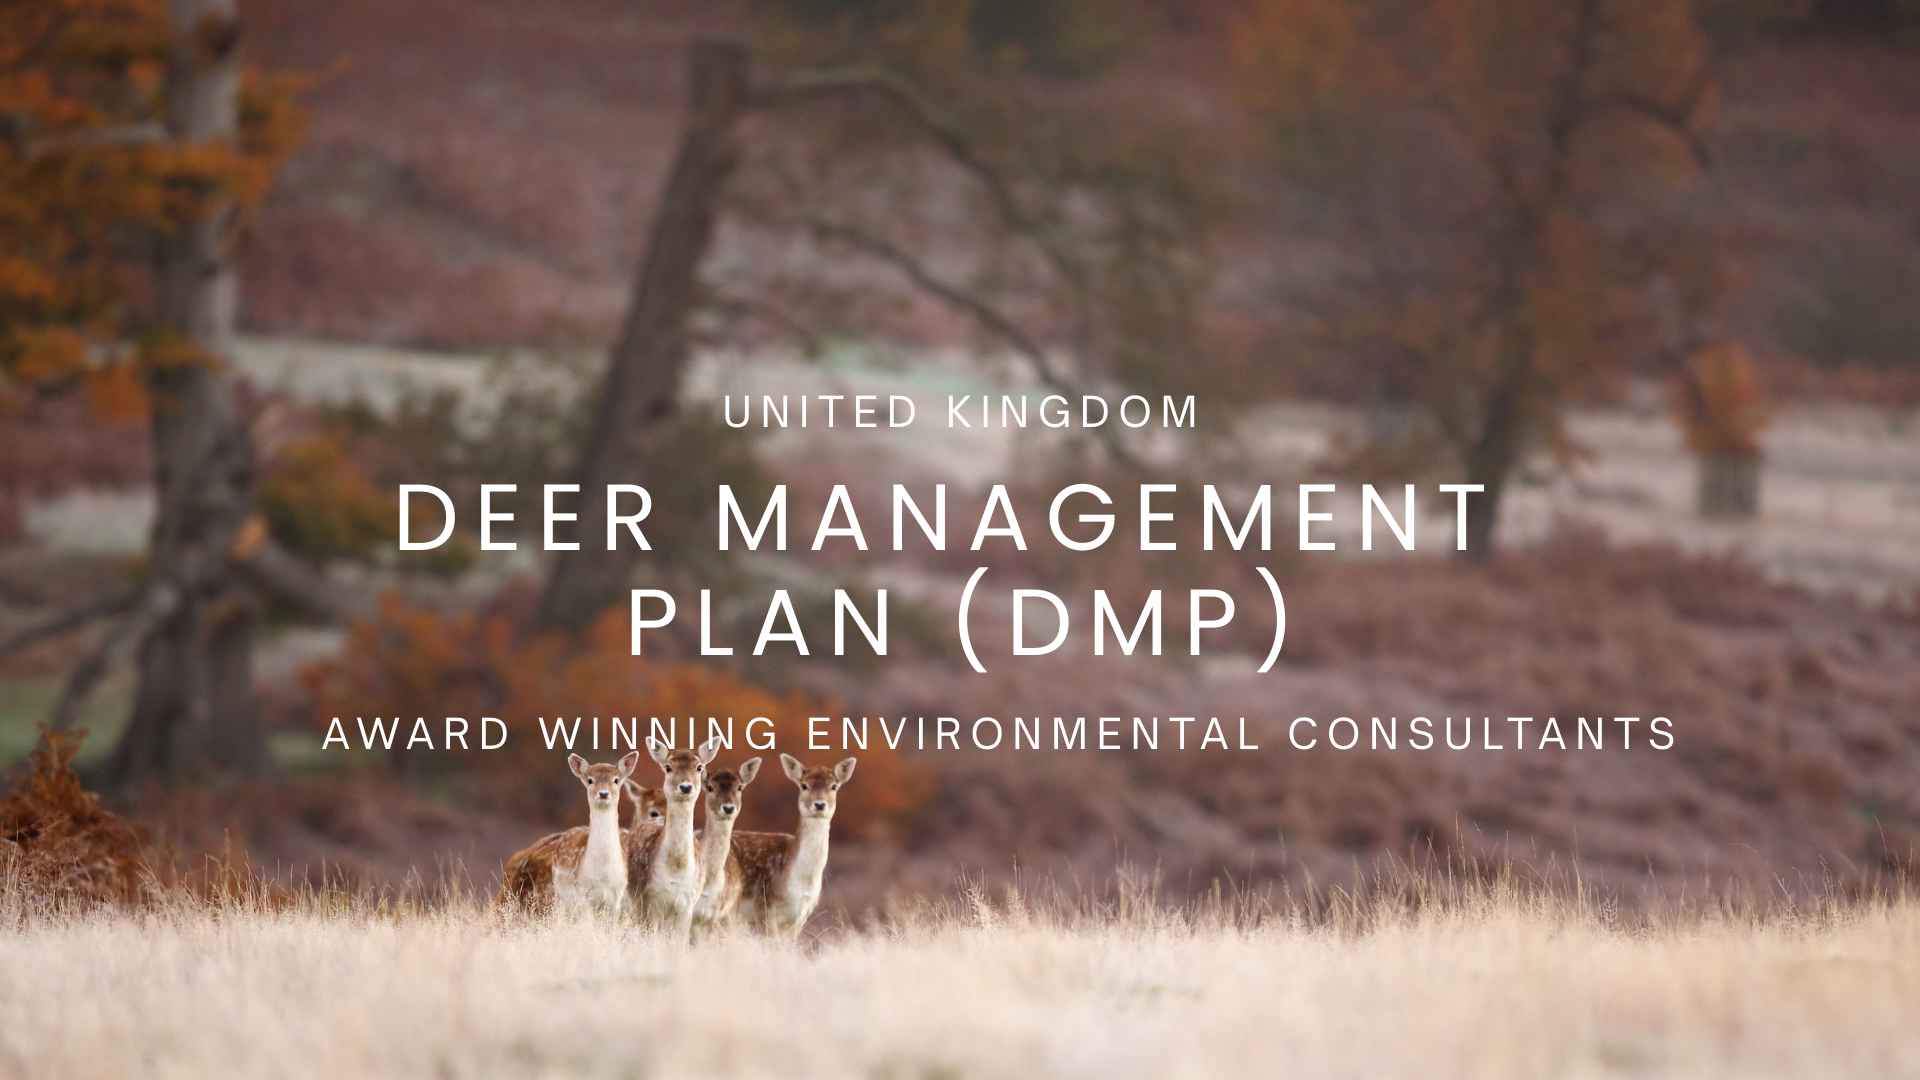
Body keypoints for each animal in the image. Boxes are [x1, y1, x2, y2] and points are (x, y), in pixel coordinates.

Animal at [496, 751, 641, 918]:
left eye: (616, 780)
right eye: (590, 780)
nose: (604, 794)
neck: (603, 875)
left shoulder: (618, 895)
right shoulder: (582, 894)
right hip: (550, 898)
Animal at [624, 735, 720, 940]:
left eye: (699, 767)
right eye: (668, 767)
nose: (685, 786)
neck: (677, 867)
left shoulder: (688, 903)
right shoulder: (651, 898)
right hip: (636, 900)